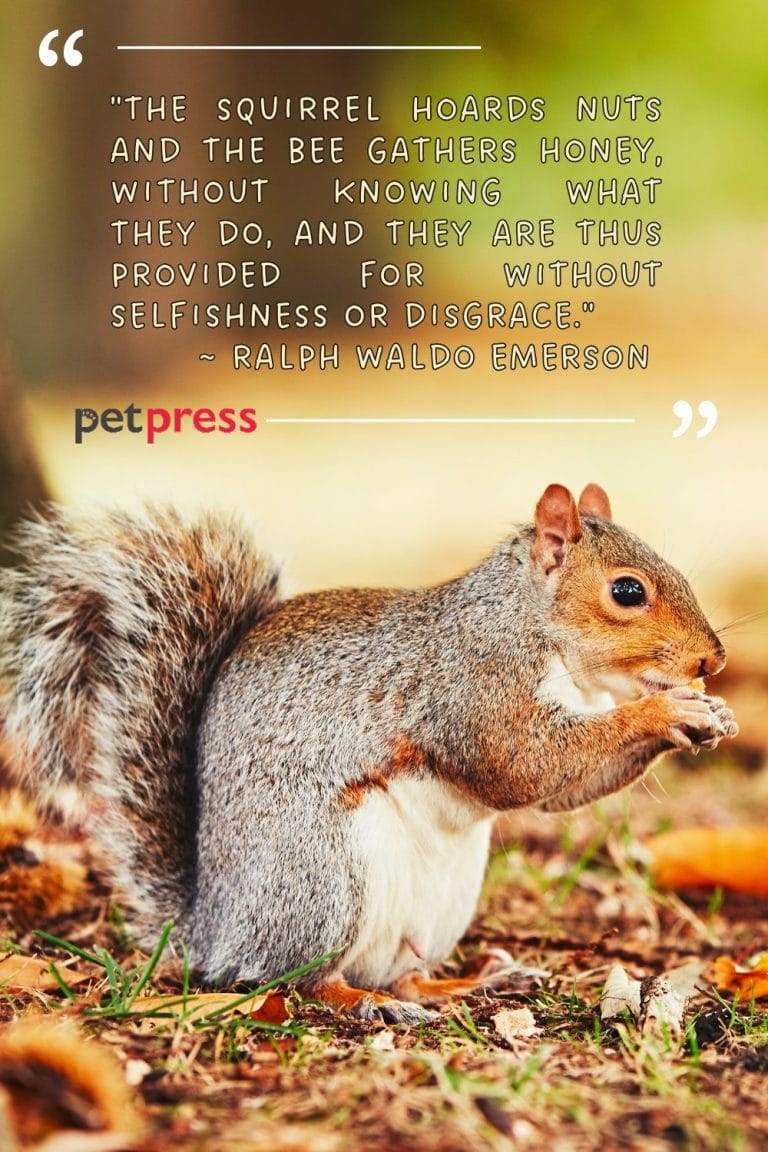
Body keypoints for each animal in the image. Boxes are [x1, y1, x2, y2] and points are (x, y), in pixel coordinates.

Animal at [0, 483, 738, 1023]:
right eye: (627, 591)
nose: (713, 660)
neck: (527, 623)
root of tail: (213, 924)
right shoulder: (473, 684)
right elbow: (520, 763)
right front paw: (668, 710)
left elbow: (562, 789)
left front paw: (707, 715)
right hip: (322, 876)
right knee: (299, 976)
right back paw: (365, 1005)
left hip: (440, 905)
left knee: (402, 973)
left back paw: (464, 985)